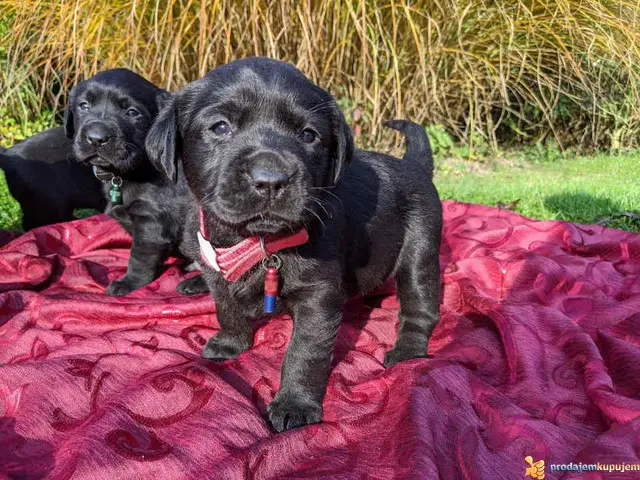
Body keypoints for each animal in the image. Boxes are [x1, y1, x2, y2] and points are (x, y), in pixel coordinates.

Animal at [64, 68, 206, 296]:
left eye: (132, 112)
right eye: (83, 105)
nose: (96, 138)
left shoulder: (152, 221)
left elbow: (139, 257)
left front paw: (129, 282)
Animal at [147, 58, 442, 434]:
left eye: (308, 134)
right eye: (220, 127)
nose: (271, 180)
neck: (257, 242)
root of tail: (413, 166)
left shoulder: (318, 295)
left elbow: (305, 352)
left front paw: (294, 404)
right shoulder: (218, 269)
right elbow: (226, 307)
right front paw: (230, 342)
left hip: (420, 248)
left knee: (420, 304)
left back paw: (407, 351)